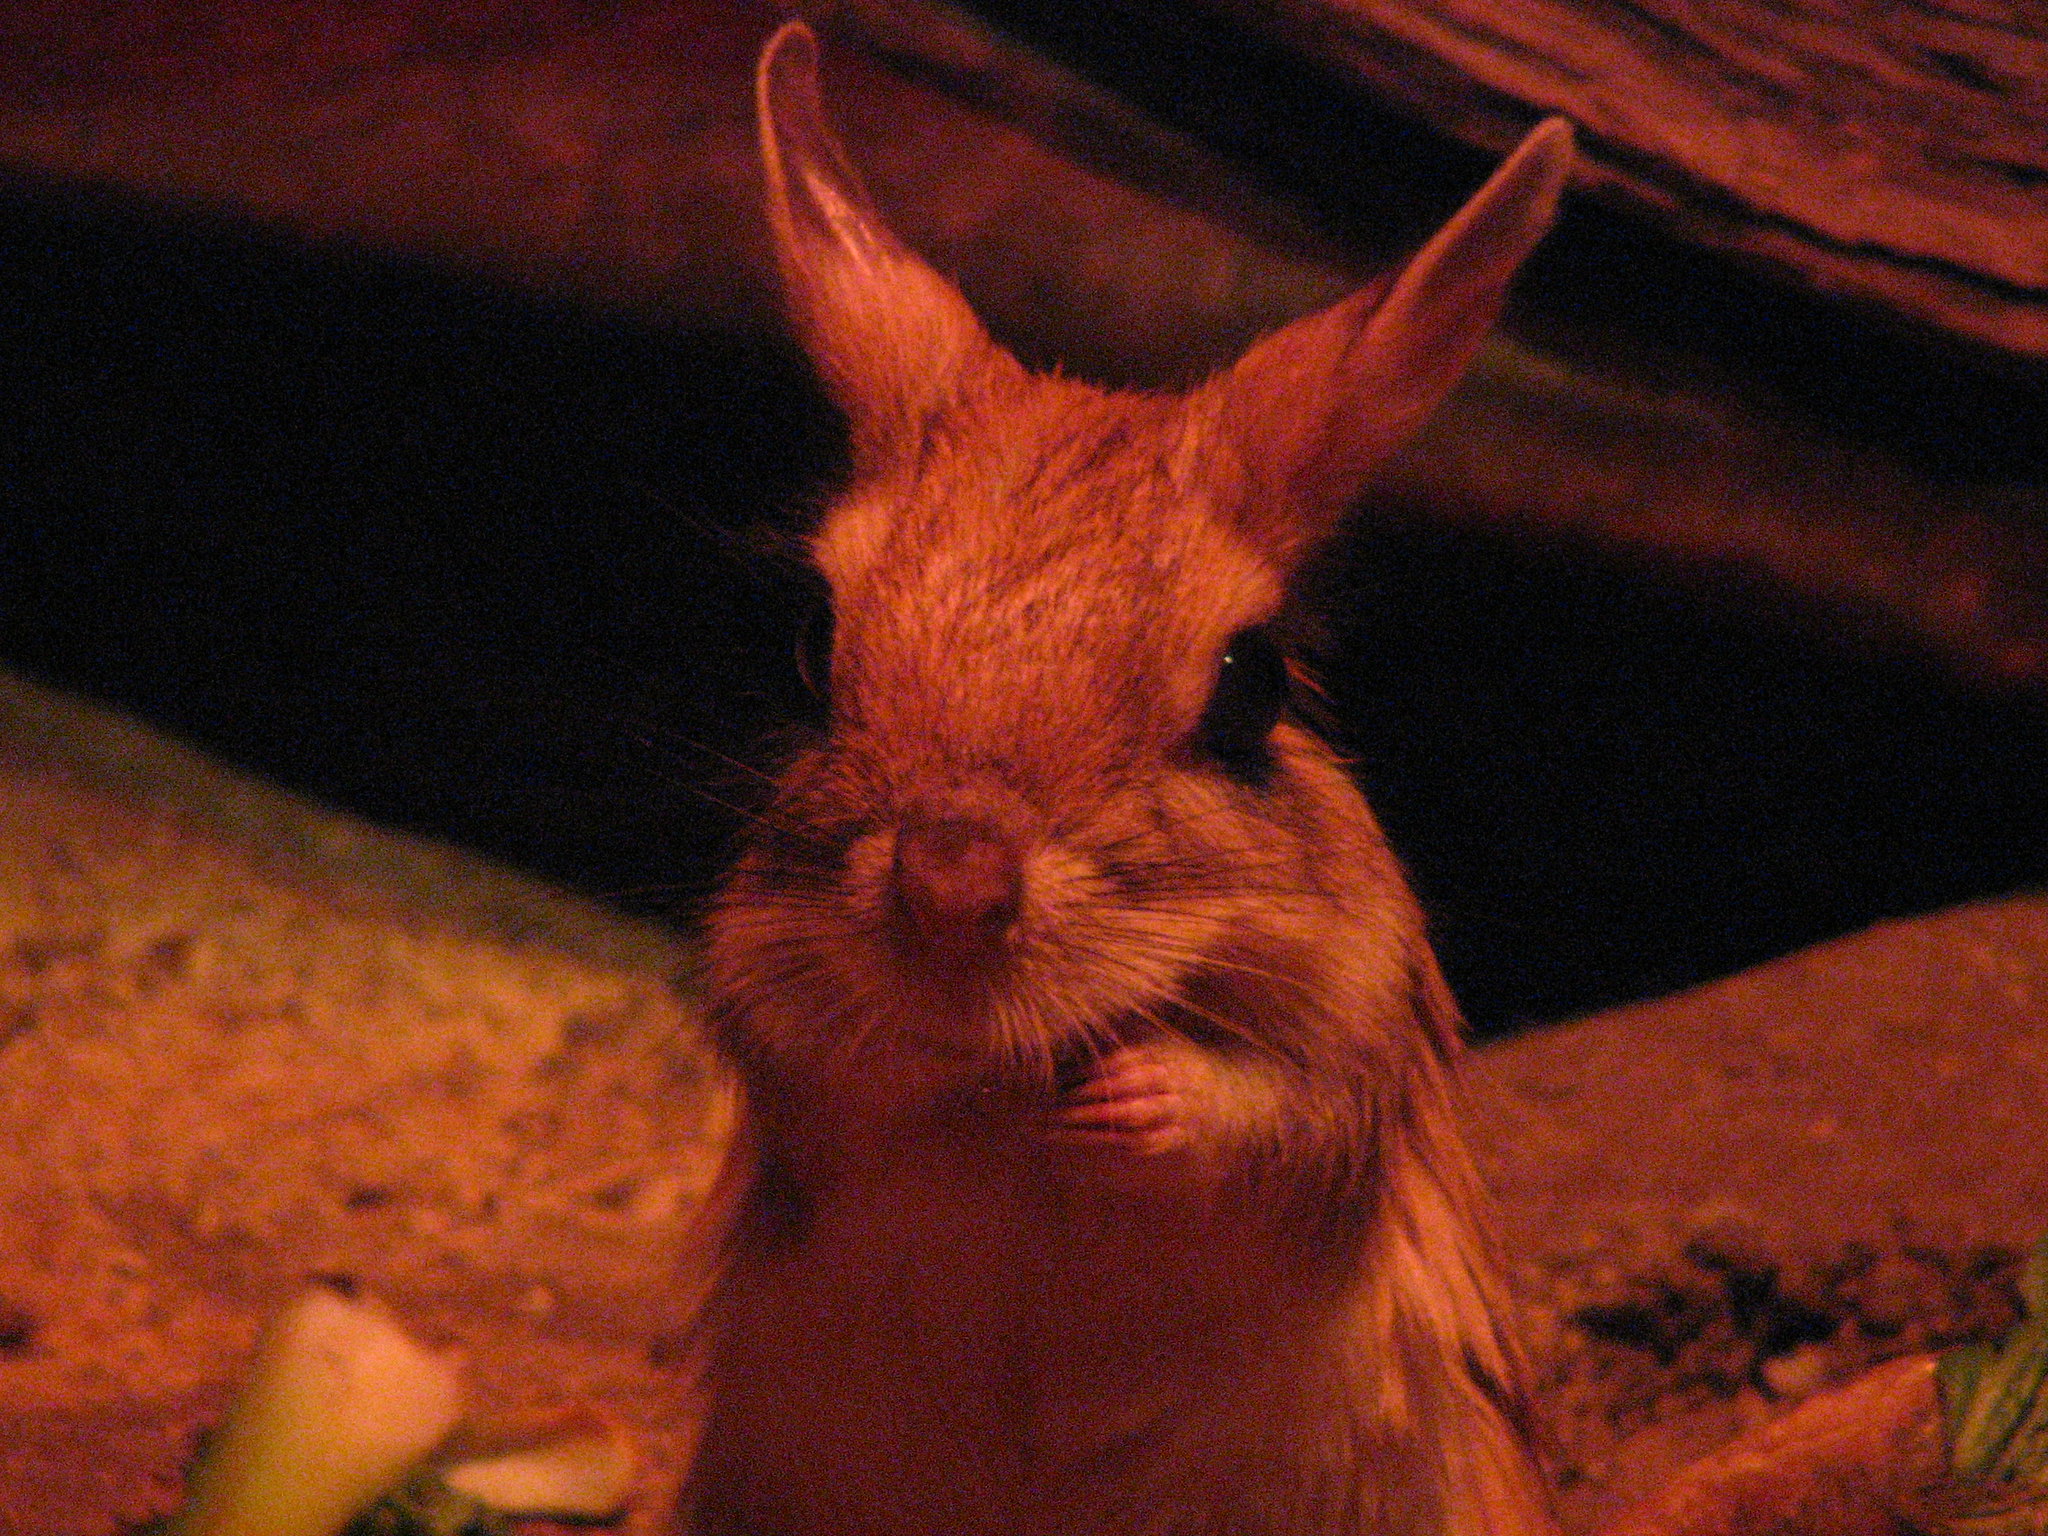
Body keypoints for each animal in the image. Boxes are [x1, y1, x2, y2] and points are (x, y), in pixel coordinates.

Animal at [685, 19, 1576, 1536]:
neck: (1009, 1084)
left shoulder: (1348, 1040)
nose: (949, 892)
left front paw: (1132, 1095)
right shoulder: (758, 969)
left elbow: (1259, 1115)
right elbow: (823, 1056)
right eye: (810, 640)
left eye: (1252, 682)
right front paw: (901, 1048)